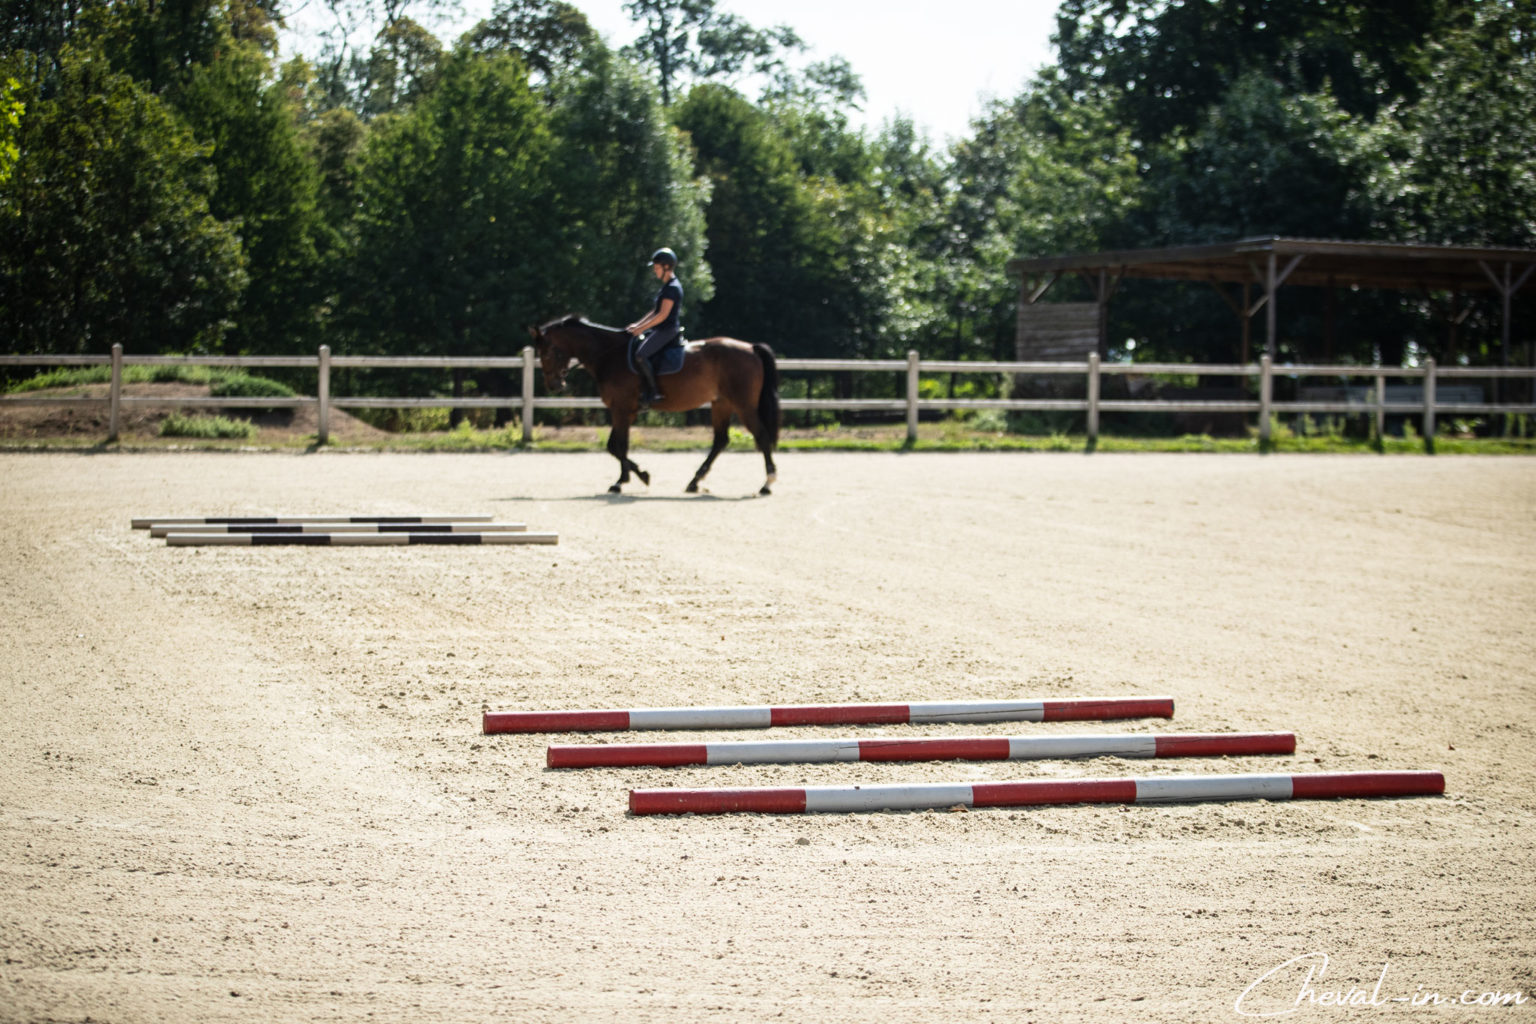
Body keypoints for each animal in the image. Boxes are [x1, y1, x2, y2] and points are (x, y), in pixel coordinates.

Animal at [528, 315, 780, 496]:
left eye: (547, 353)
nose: (554, 385)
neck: (609, 355)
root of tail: (750, 348)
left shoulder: (621, 409)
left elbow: (620, 446)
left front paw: (626, 481)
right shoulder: (624, 411)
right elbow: (613, 446)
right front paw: (635, 476)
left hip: (743, 405)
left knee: (761, 435)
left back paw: (767, 484)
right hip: (721, 404)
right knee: (720, 441)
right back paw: (694, 482)